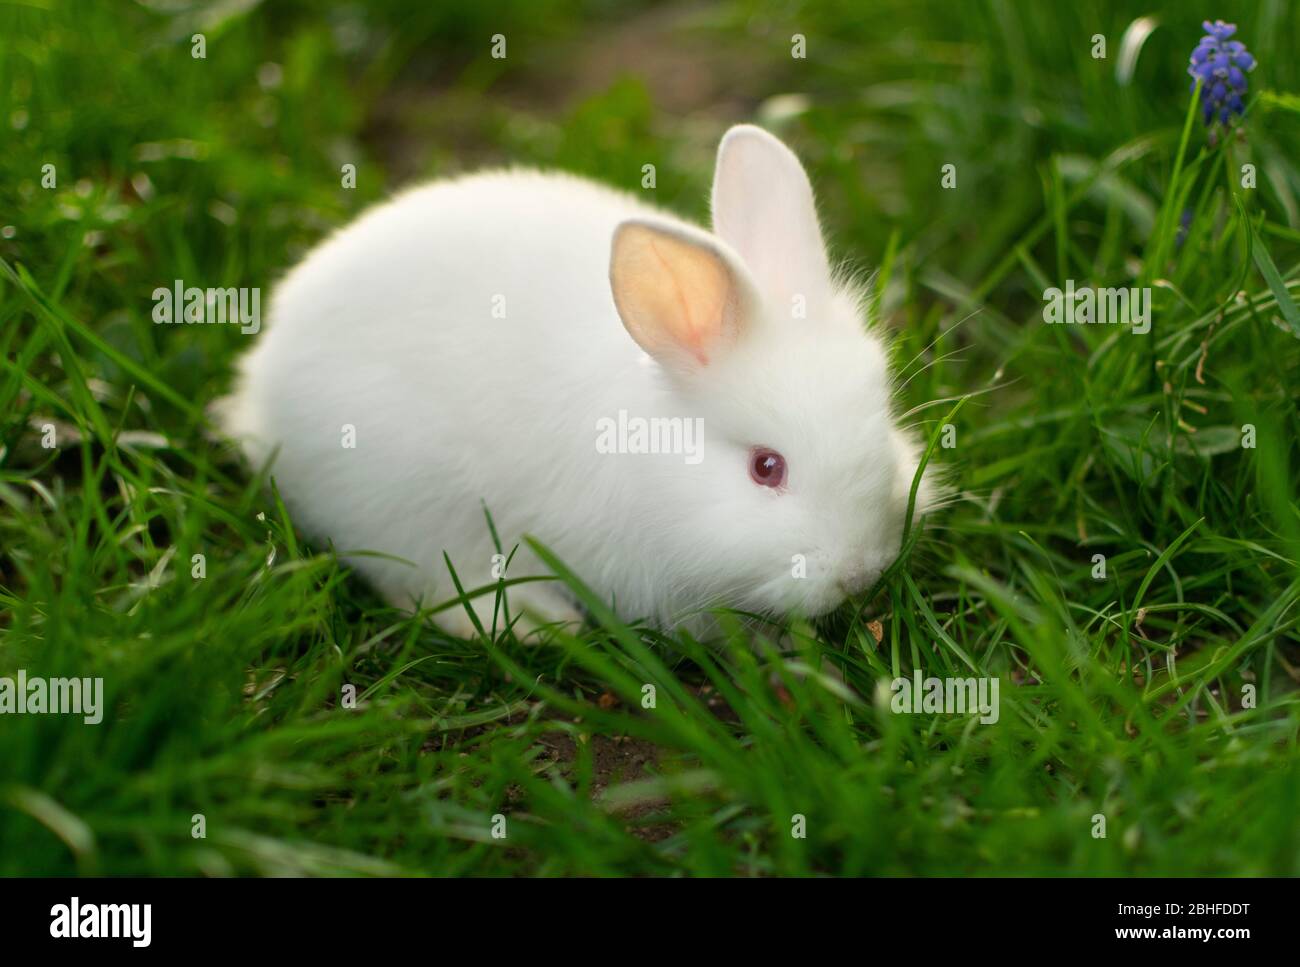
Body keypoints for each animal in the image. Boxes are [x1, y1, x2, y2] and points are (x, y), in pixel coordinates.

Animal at [217, 124, 936, 638]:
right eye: (766, 467)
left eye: (883, 424)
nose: (860, 571)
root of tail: (260, 387)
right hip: (403, 500)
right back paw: (534, 622)